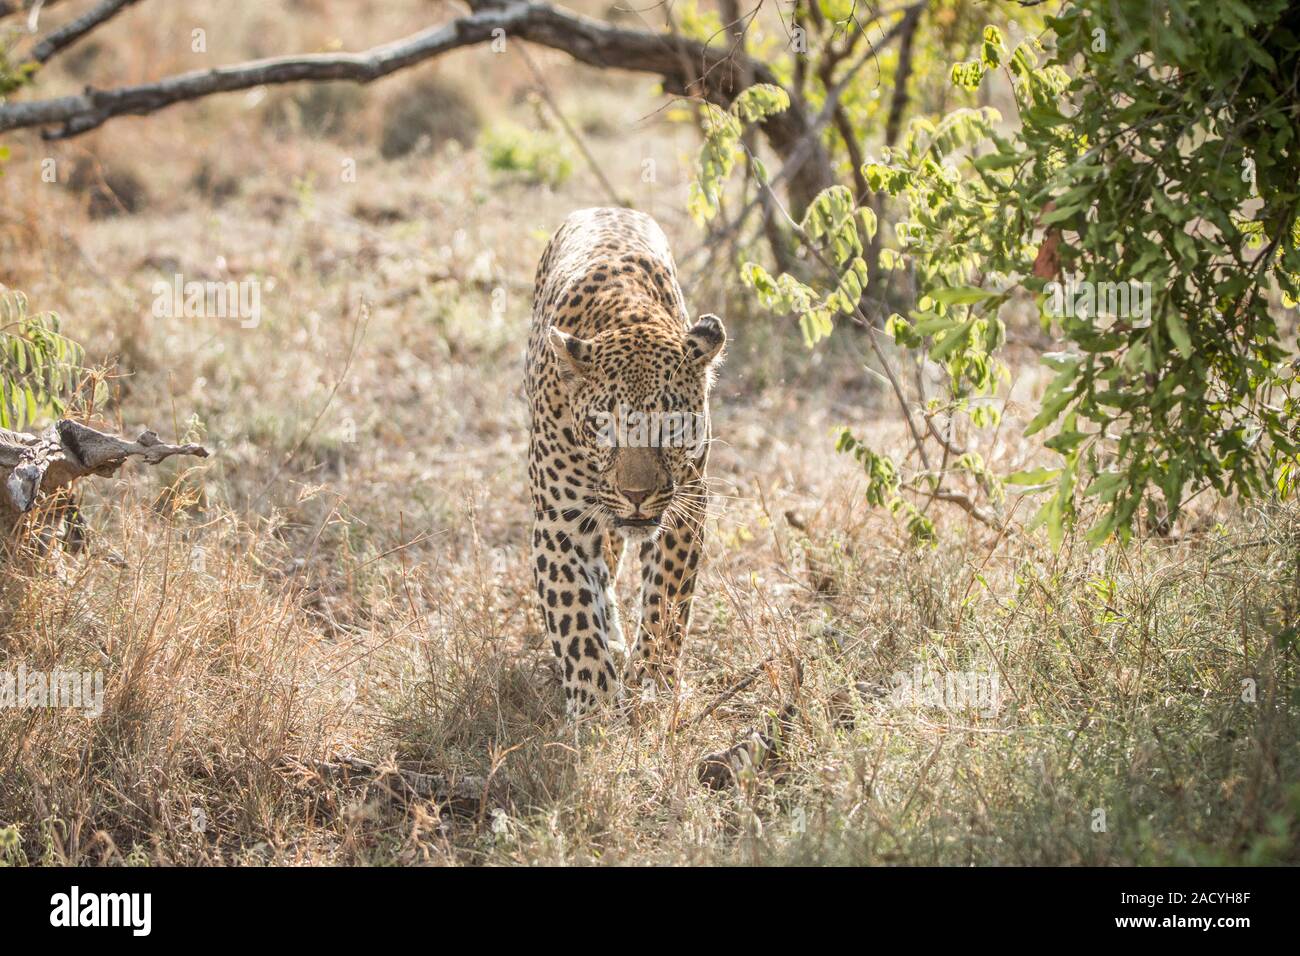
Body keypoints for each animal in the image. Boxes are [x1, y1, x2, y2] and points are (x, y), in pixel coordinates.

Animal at [526, 207, 726, 717]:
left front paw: (652, 680)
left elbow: (666, 603)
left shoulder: (686, 506)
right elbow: (574, 617)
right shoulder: (560, 521)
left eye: (671, 426)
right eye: (604, 423)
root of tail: (606, 208)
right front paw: (594, 708)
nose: (636, 495)